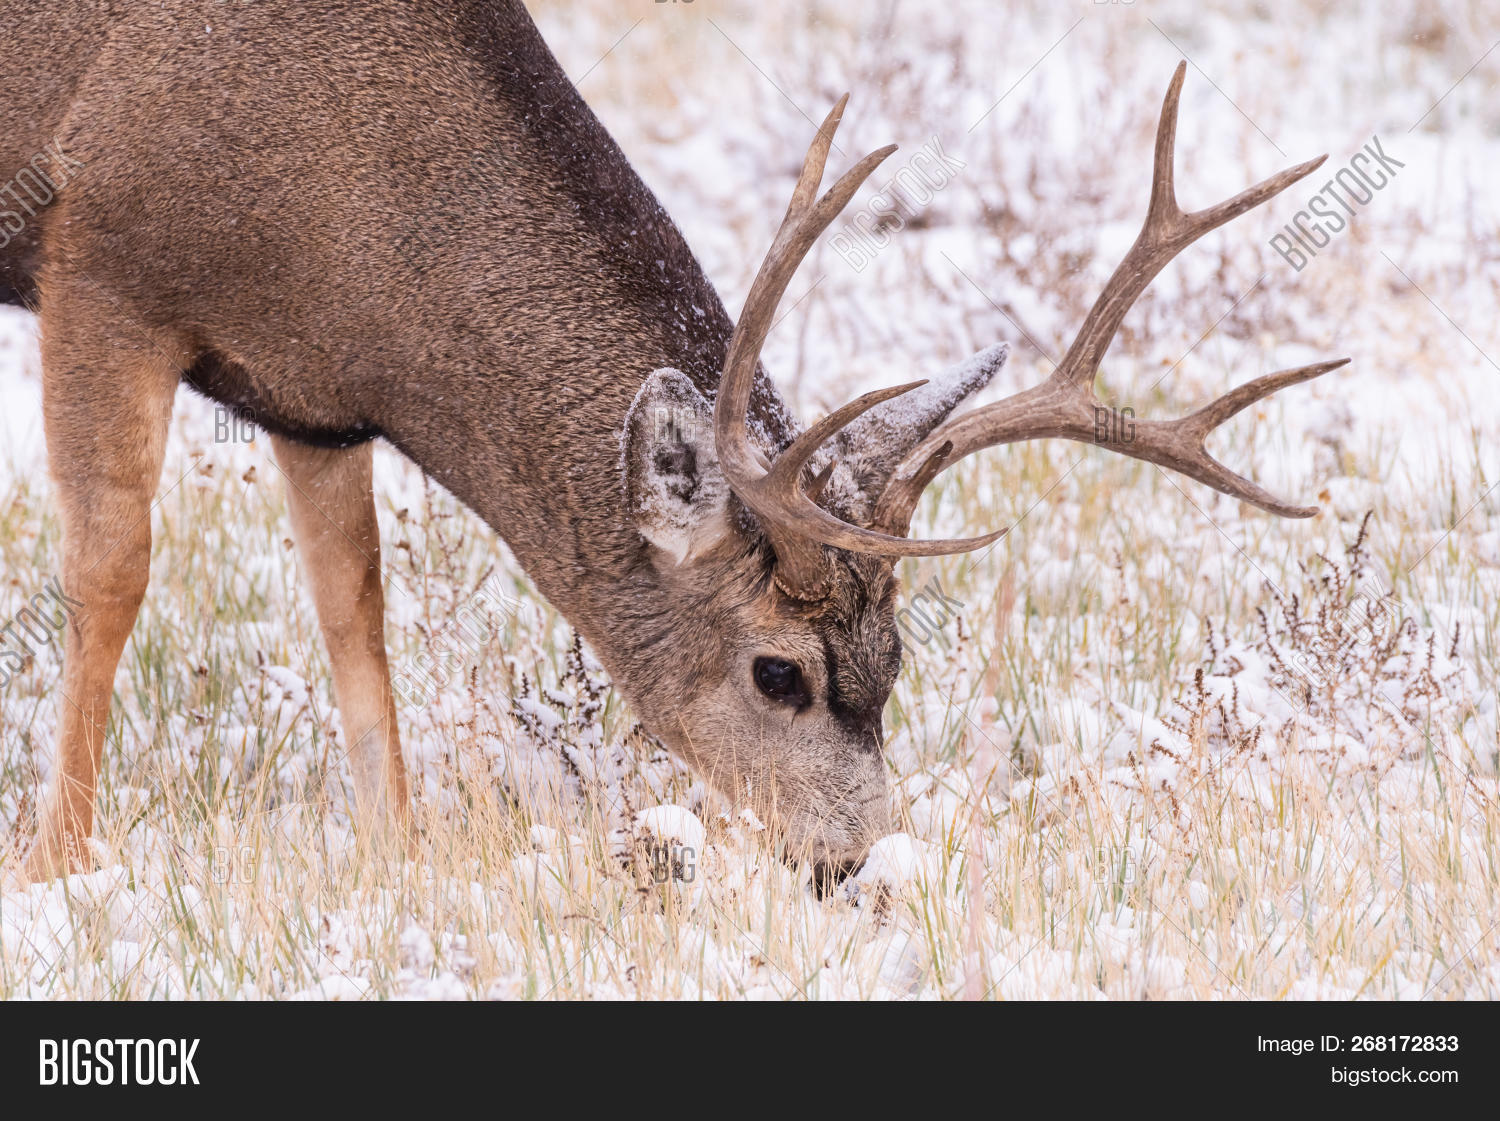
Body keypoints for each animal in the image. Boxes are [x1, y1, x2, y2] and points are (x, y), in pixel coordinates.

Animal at [1, 0, 1346, 885]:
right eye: (778, 672)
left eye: (899, 661)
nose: (857, 865)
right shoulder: (102, 265)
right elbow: (112, 567)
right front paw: (61, 858)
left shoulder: (311, 396)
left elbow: (355, 609)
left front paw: (399, 855)